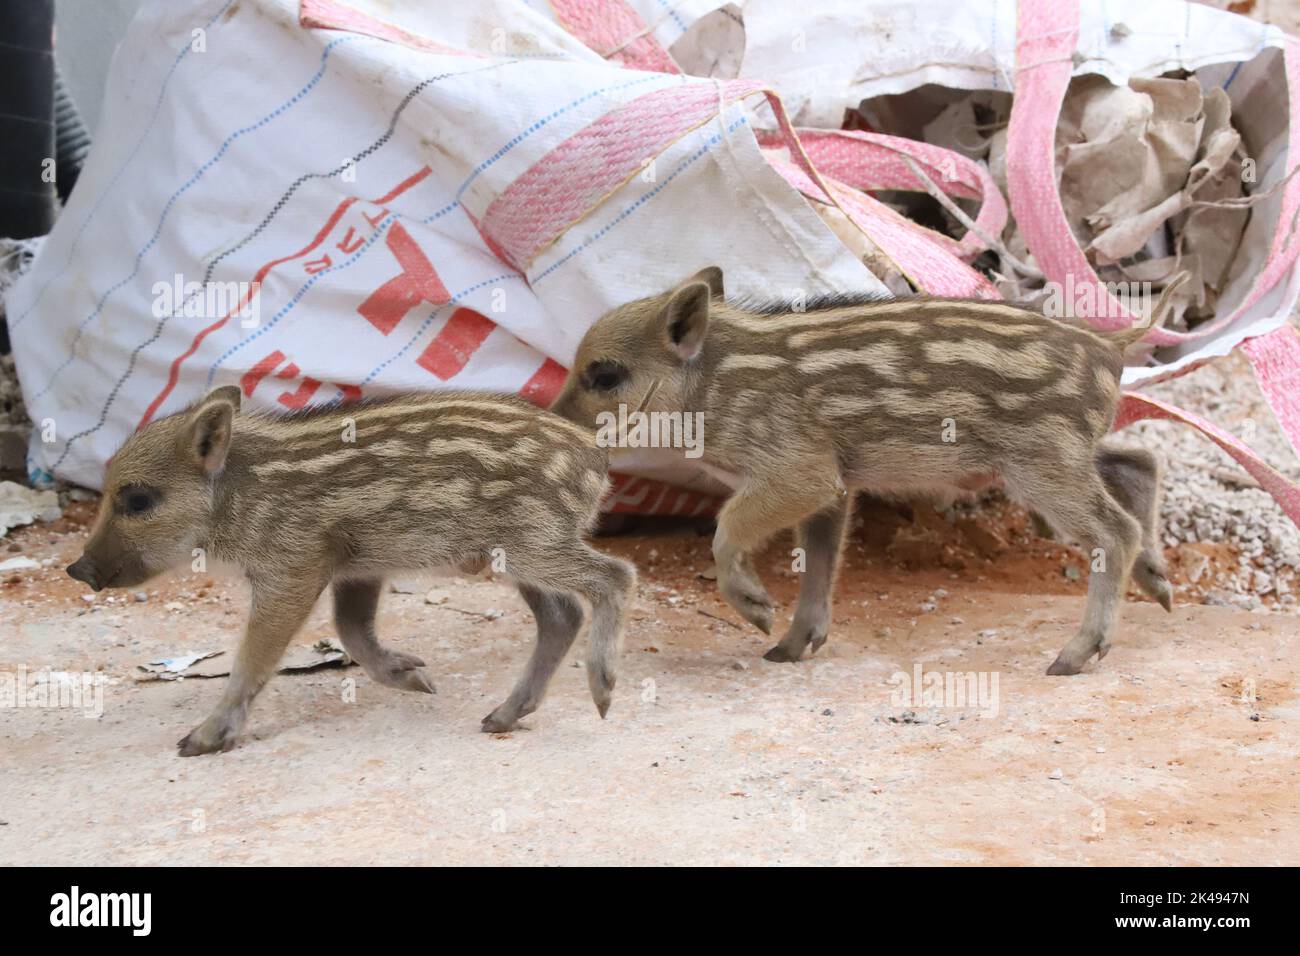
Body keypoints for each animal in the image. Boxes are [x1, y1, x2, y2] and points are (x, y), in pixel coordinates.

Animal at [67, 386, 635, 755]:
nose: (79, 570)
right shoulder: (356, 567)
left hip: (532, 541)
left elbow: (255, 656)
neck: (241, 495)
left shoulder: (294, 566)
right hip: (517, 552)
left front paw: (199, 741)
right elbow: (351, 629)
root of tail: (596, 460)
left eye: (138, 499)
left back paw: (603, 694)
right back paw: (500, 718)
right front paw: (417, 679)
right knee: (560, 616)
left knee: (614, 577)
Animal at [551, 267, 1175, 676]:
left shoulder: (800, 471)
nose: (552, 421)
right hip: (1058, 453)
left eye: (604, 374)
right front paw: (787, 648)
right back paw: (1161, 589)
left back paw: (1073, 657)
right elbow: (820, 561)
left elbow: (728, 530)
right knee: (1139, 463)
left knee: (1116, 529)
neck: (716, 385)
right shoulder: (833, 488)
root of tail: (1111, 347)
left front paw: (759, 615)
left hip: (1042, 460)